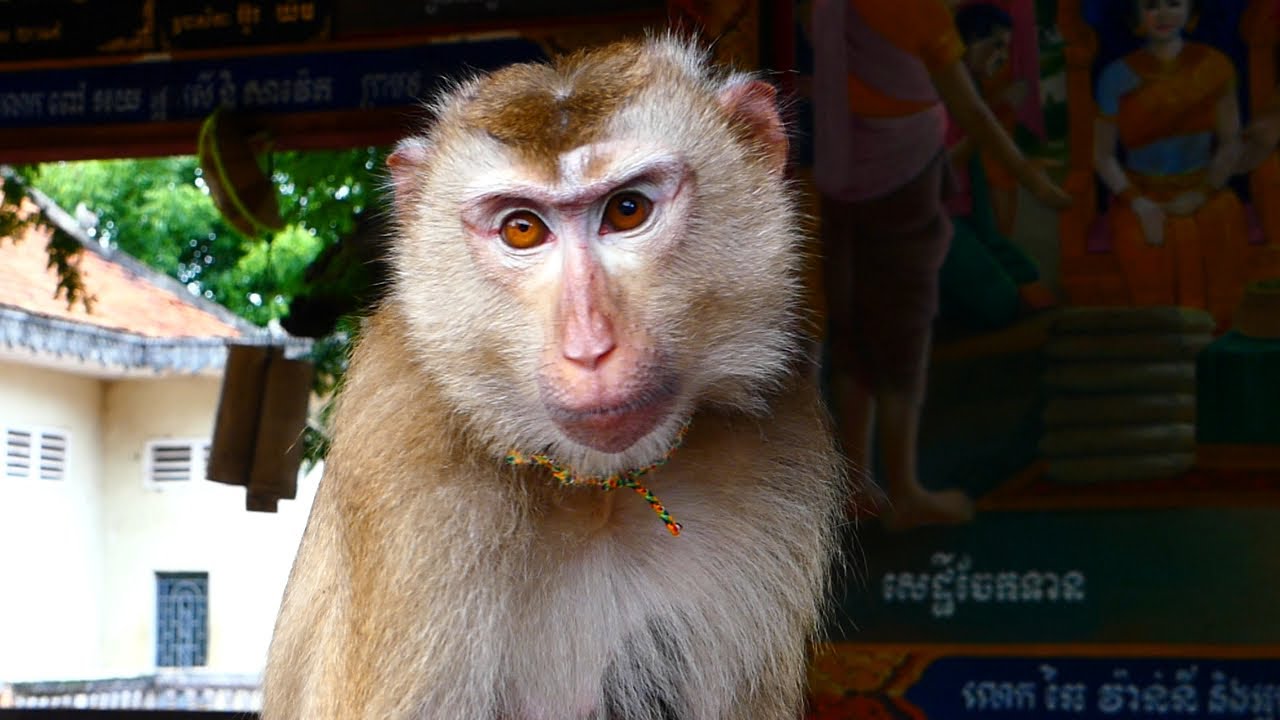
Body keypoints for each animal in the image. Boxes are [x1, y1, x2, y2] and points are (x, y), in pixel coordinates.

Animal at [261, 36, 847, 720]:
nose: (589, 348)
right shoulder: (405, 460)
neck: (599, 488)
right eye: (523, 228)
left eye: (627, 209)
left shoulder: (780, 446)